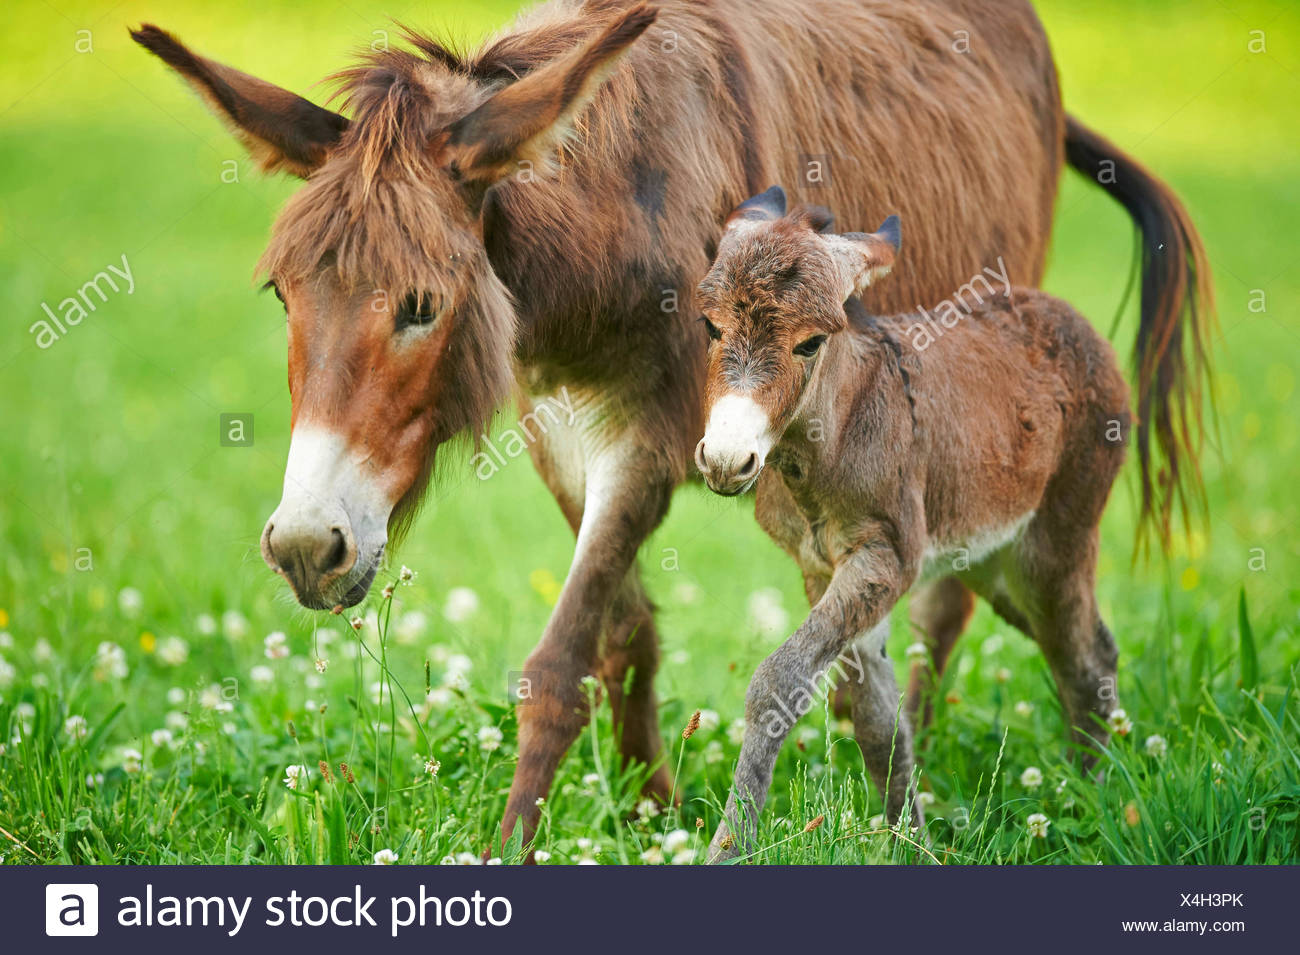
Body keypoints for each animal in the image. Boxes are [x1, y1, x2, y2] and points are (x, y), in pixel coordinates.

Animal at [695, 187, 1133, 860]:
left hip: (1053, 544)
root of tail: (1066, 313)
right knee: (1083, 649)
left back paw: (1092, 800)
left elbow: (779, 682)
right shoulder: (825, 570)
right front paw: (908, 840)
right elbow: (878, 720)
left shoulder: (887, 558)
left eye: (810, 343)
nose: (725, 460)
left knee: (1085, 659)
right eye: (710, 327)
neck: (832, 436)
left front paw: (730, 845)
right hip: (990, 562)